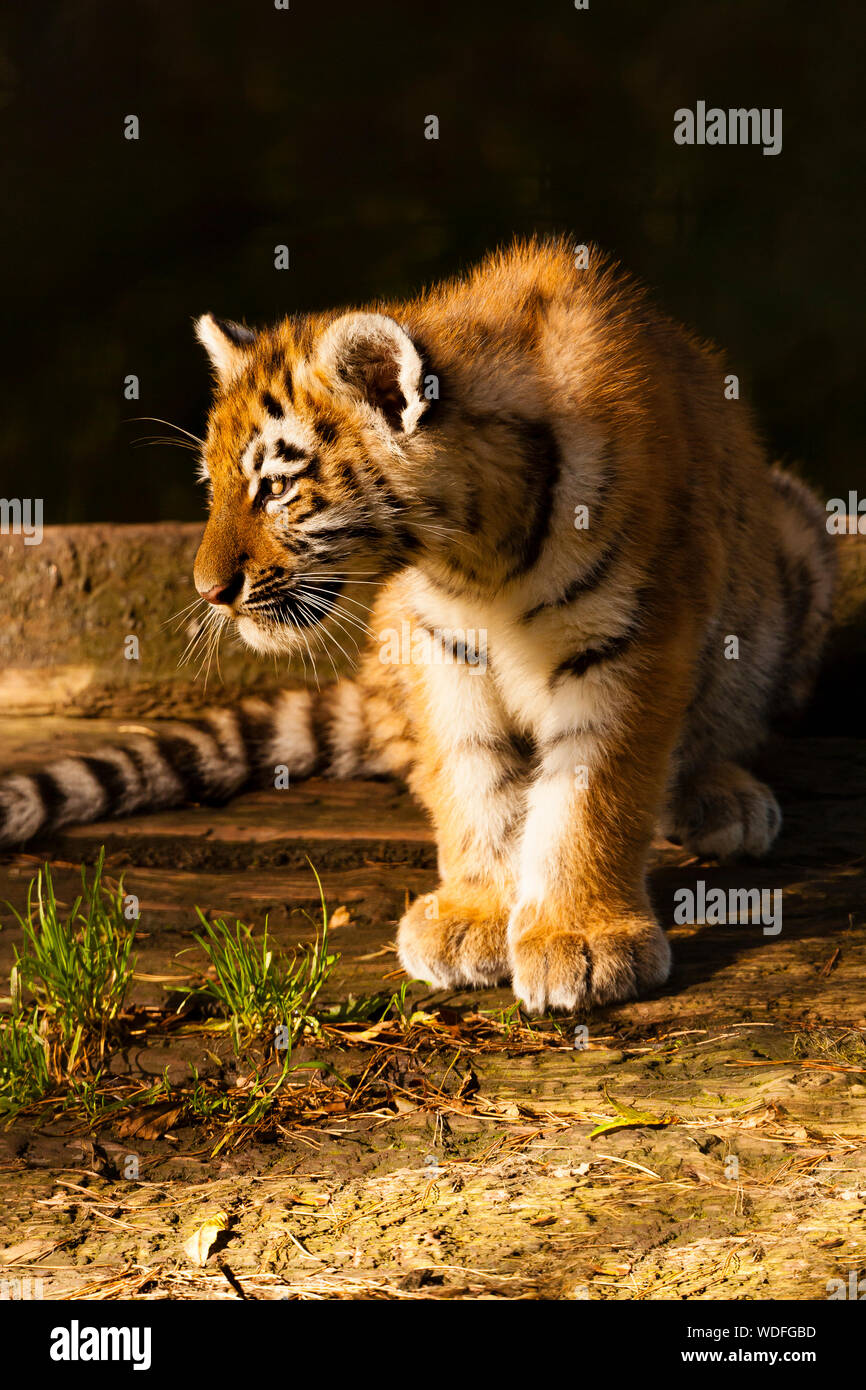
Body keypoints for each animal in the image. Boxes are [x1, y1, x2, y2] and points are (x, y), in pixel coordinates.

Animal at [0, 238, 836, 1012]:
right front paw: (476, 915)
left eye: (273, 489)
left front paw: (580, 938)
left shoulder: (628, 637)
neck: (476, 549)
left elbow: (591, 791)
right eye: (213, 487)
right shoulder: (439, 642)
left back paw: (722, 800)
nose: (209, 592)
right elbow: (472, 775)